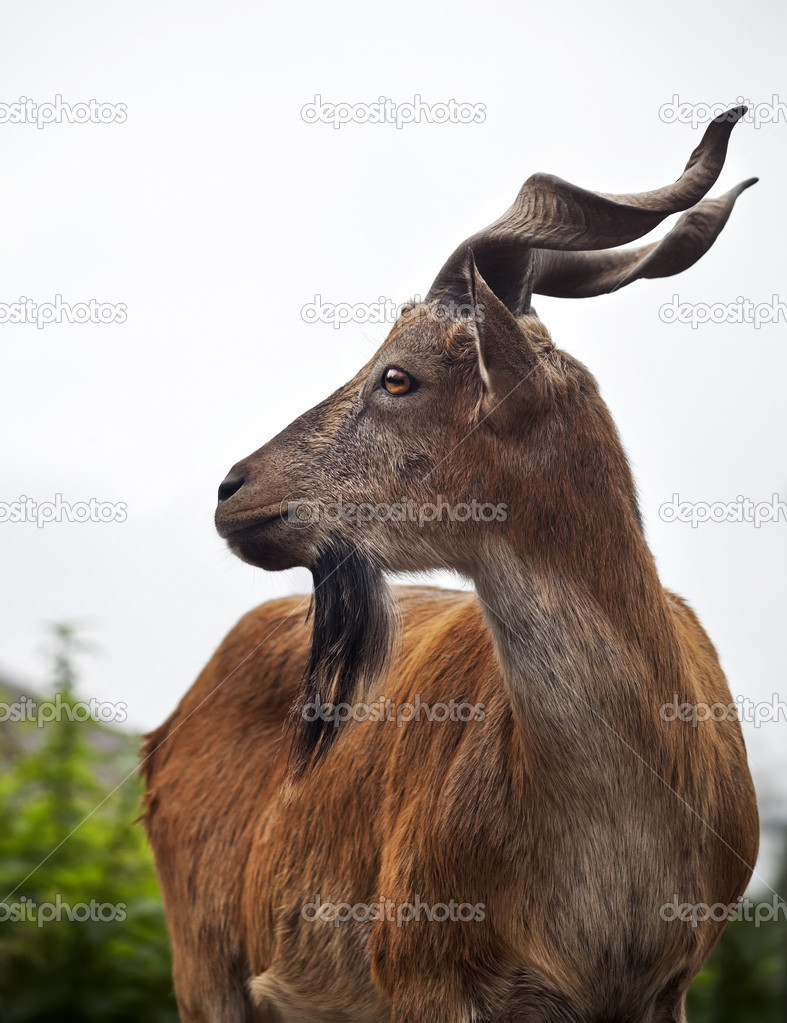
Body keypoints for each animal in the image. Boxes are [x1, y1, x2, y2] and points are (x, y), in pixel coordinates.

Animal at [143, 107, 759, 1023]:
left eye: (398, 376)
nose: (233, 490)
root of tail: (161, 734)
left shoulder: (662, 990)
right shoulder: (423, 974)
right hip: (205, 969)